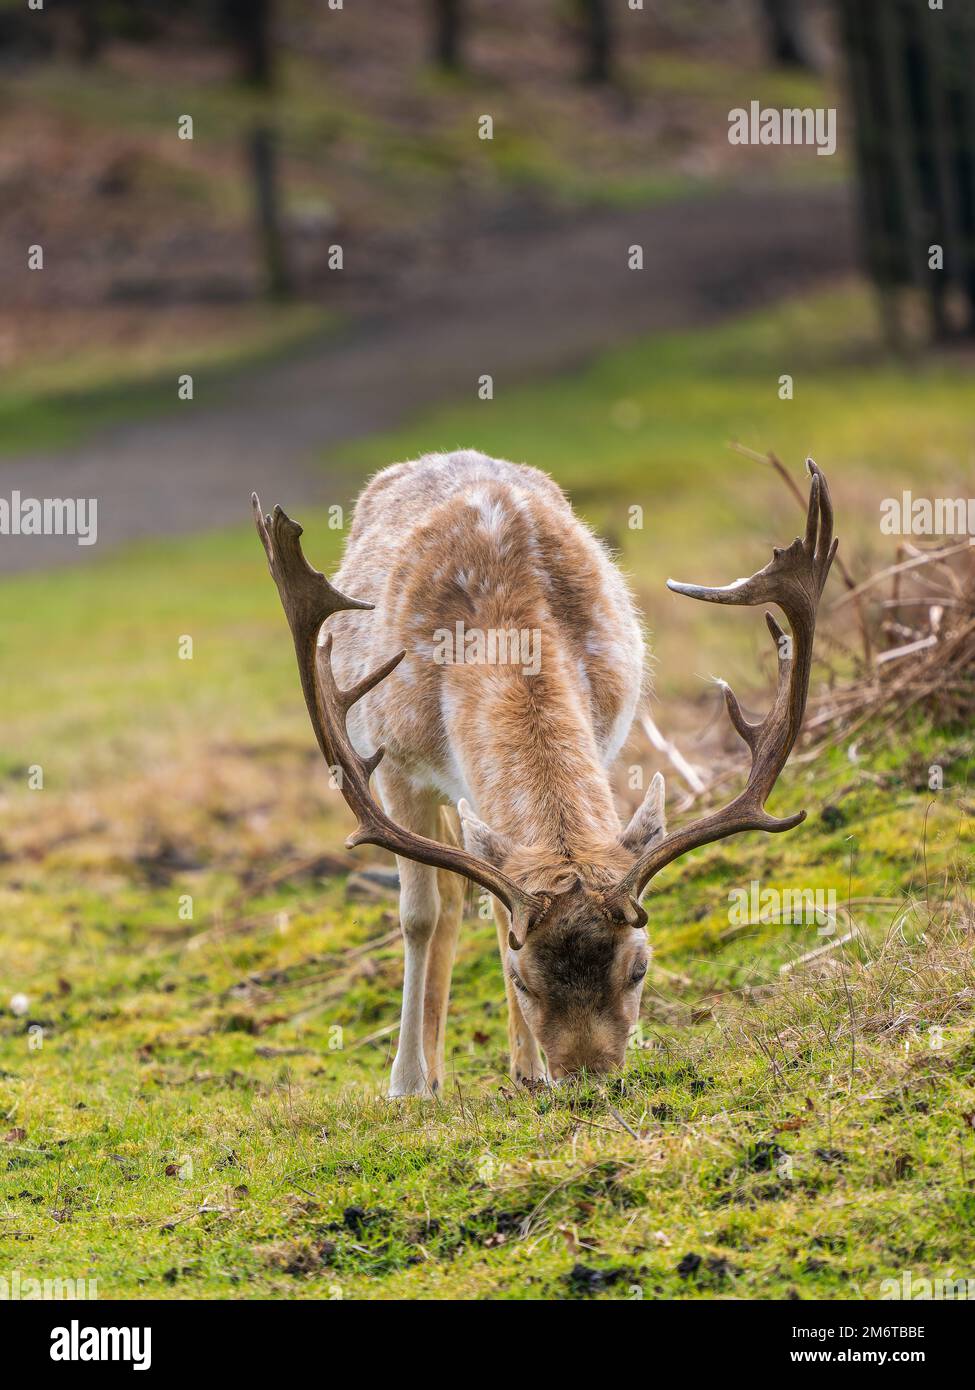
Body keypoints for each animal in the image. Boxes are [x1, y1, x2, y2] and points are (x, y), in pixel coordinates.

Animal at [253, 450, 836, 1097]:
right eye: (522, 977)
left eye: (640, 968)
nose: (587, 1080)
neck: (510, 618)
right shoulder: (393, 761)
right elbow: (418, 915)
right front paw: (404, 1084)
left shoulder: (601, 741)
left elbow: (493, 906)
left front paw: (526, 1071)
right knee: (444, 903)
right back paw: (429, 1076)